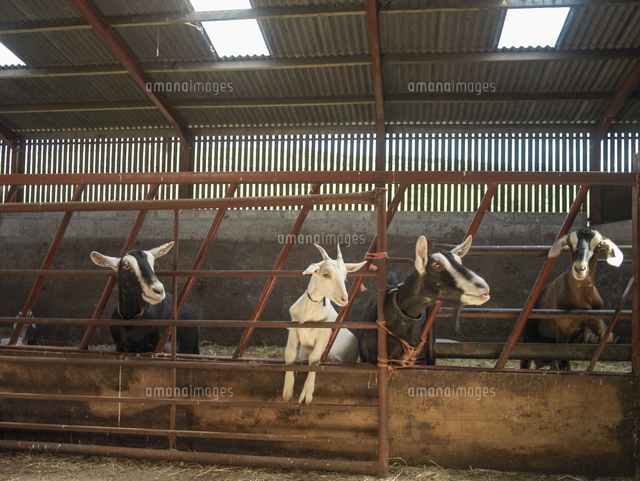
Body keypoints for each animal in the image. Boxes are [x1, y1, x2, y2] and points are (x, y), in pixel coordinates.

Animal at [282, 243, 366, 405]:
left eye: (345, 276)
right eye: (326, 274)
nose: (345, 298)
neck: (310, 309)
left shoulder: (324, 333)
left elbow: (315, 358)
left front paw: (307, 393)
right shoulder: (294, 329)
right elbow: (290, 354)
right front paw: (287, 391)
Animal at [520, 228, 623, 370]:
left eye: (599, 245)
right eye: (569, 242)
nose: (580, 268)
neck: (581, 299)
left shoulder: (596, 318)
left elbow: (608, 337)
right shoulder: (562, 332)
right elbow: (564, 361)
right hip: (527, 346)